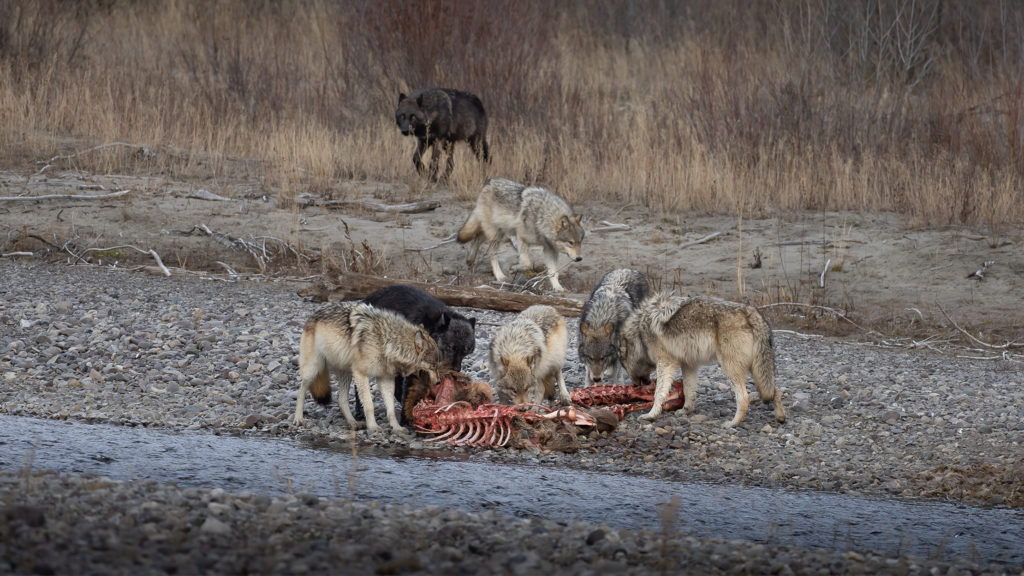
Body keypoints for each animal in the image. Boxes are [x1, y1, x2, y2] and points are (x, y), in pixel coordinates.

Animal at [293, 302, 440, 433]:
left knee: (341, 400)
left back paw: (353, 423)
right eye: (433, 366)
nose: (438, 382)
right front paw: (373, 426)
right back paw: (298, 418)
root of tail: (313, 315)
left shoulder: (386, 378)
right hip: (314, 369)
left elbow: (391, 408)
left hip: (346, 374)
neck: (386, 341)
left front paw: (397, 427)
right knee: (301, 391)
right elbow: (369, 404)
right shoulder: (361, 374)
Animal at [356, 284, 477, 424]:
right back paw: (359, 412)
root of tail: (365, 300)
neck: (431, 327)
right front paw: (406, 419)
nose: (457, 369)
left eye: (466, 351)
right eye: (451, 348)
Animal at [617, 293, 786, 428]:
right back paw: (780, 417)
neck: (639, 329)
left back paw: (732, 424)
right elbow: (688, 390)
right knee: (774, 390)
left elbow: (659, 393)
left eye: (623, 365)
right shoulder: (689, 364)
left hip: (730, 368)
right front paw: (686, 410)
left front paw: (651, 415)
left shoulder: (666, 362)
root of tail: (751, 312)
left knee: (744, 398)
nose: (635, 385)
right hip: (756, 370)